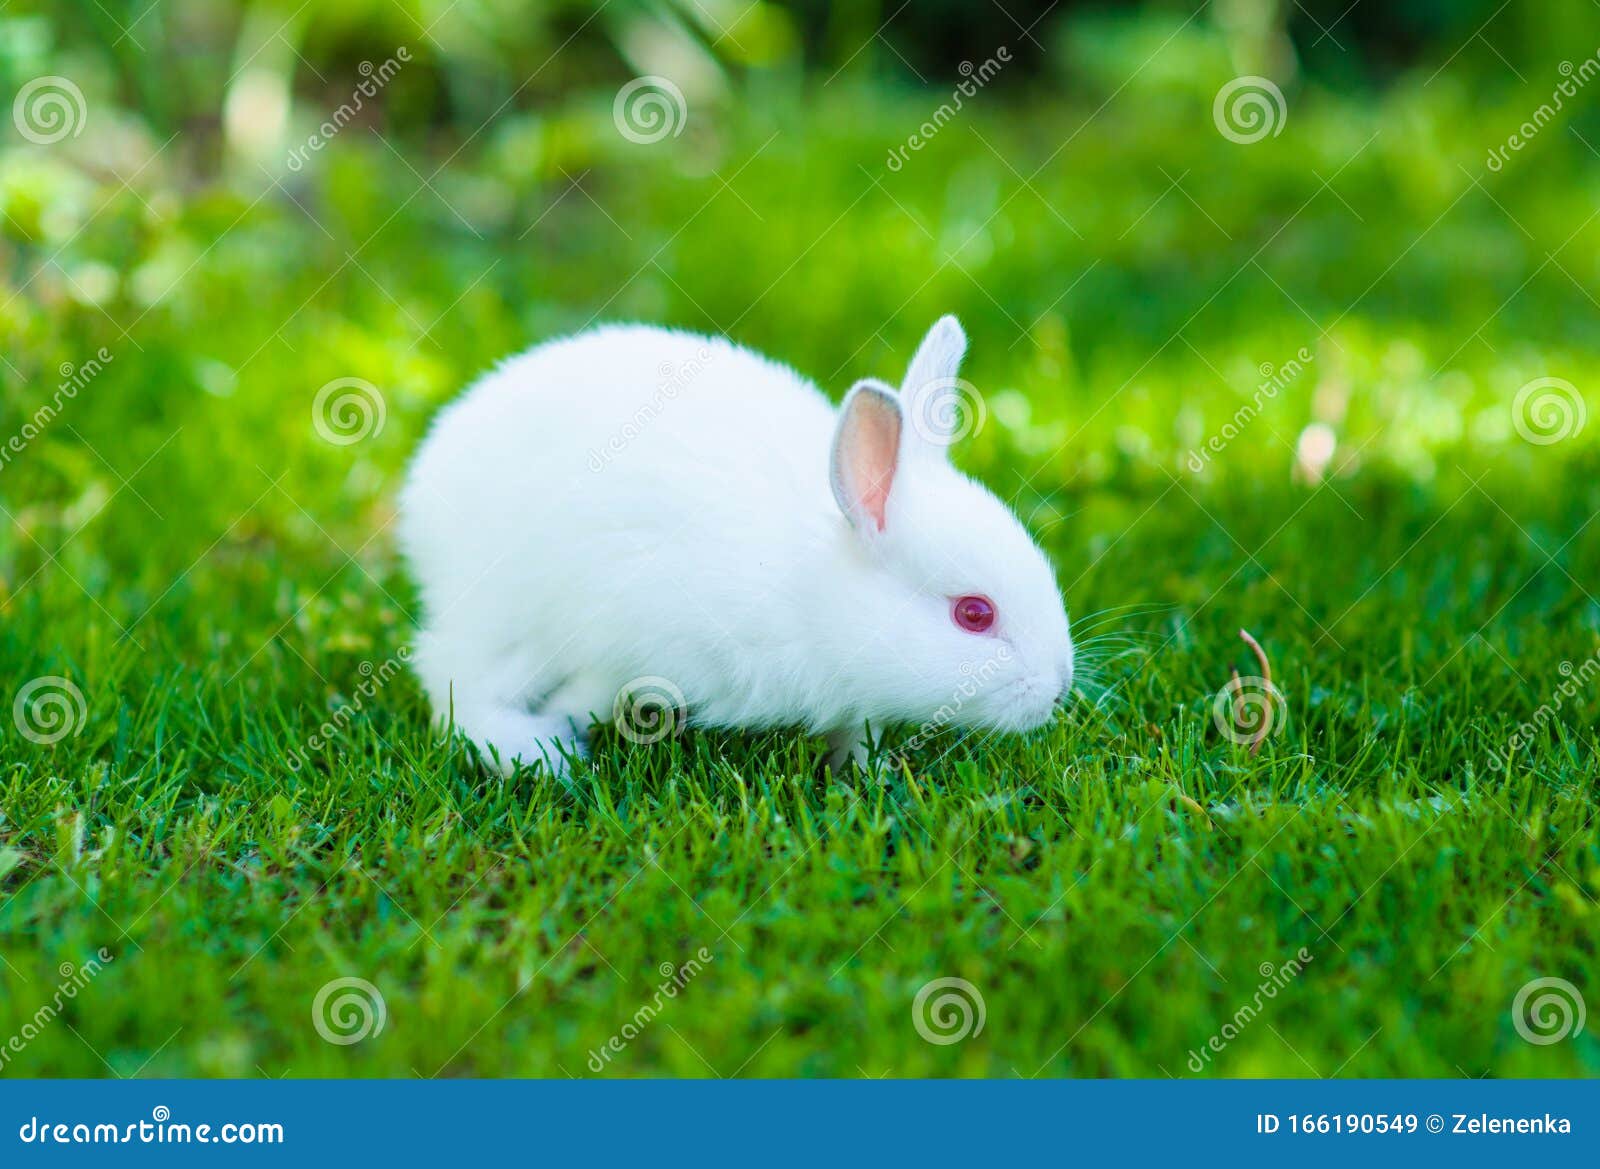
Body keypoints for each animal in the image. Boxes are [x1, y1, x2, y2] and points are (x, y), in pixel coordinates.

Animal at [397, 315, 1074, 777]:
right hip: (511, 616)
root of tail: (427, 474)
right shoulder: (633, 639)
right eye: (974, 614)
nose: (1058, 689)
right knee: (453, 679)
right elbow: (586, 690)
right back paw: (538, 756)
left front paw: (868, 774)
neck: (811, 593)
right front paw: (566, 731)